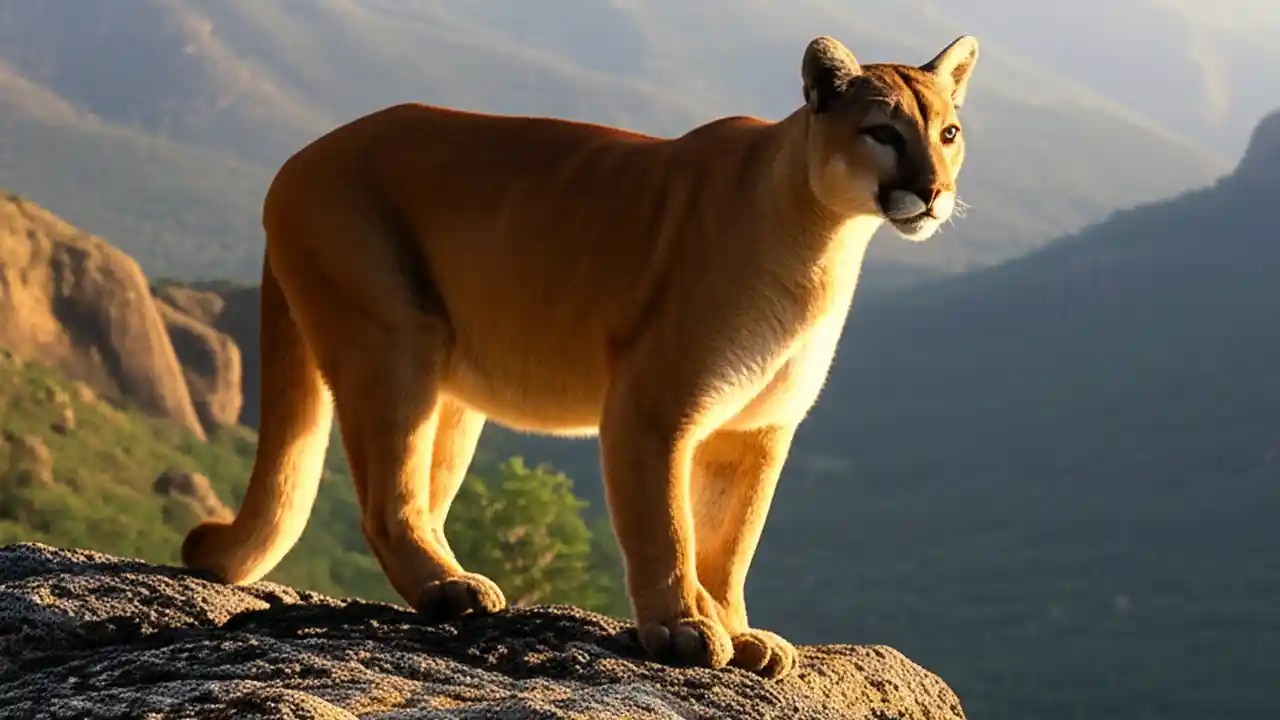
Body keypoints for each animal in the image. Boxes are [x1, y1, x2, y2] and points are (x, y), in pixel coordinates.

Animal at [182, 34, 980, 678]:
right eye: (882, 132)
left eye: (947, 132)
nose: (933, 192)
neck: (825, 238)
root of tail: (295, 161)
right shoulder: (652, 407)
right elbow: (666, 526)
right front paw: (683, 628)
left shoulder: (756, 431)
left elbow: (730, 542)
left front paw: (738, 631)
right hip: (391, 336)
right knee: (385, 499)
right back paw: (449, 591)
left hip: (452, 386)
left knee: (422, 489)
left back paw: (452, 582)